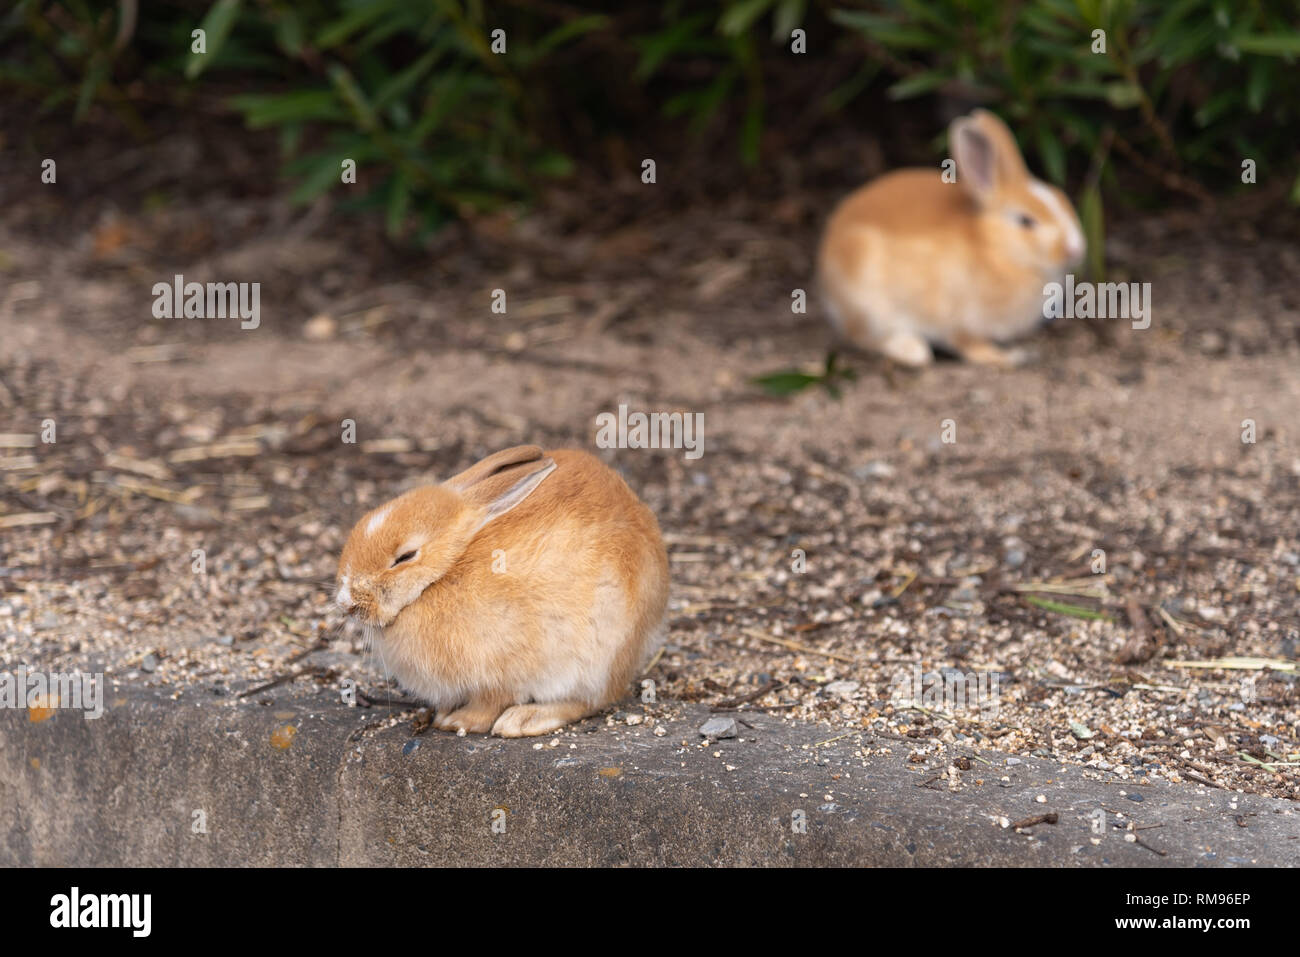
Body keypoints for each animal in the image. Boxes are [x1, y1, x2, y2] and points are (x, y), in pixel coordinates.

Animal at [334, 445, 669, 737]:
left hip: (599, 655)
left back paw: (524, 720)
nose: (346, 602)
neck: (444, 574)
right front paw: (446, 715)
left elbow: (490, 703)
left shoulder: (502, 671)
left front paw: (458, 721)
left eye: (405, 557)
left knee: (591, 700)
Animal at [817, 108, 1085, 369]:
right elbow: (970, 346)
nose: (1076, 249)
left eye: (1063, 200)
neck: (994, 249)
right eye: (1025, 221)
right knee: (863, 336)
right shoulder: (961, 321)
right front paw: (1006, 358)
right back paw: (913, 351)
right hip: (869, 305)